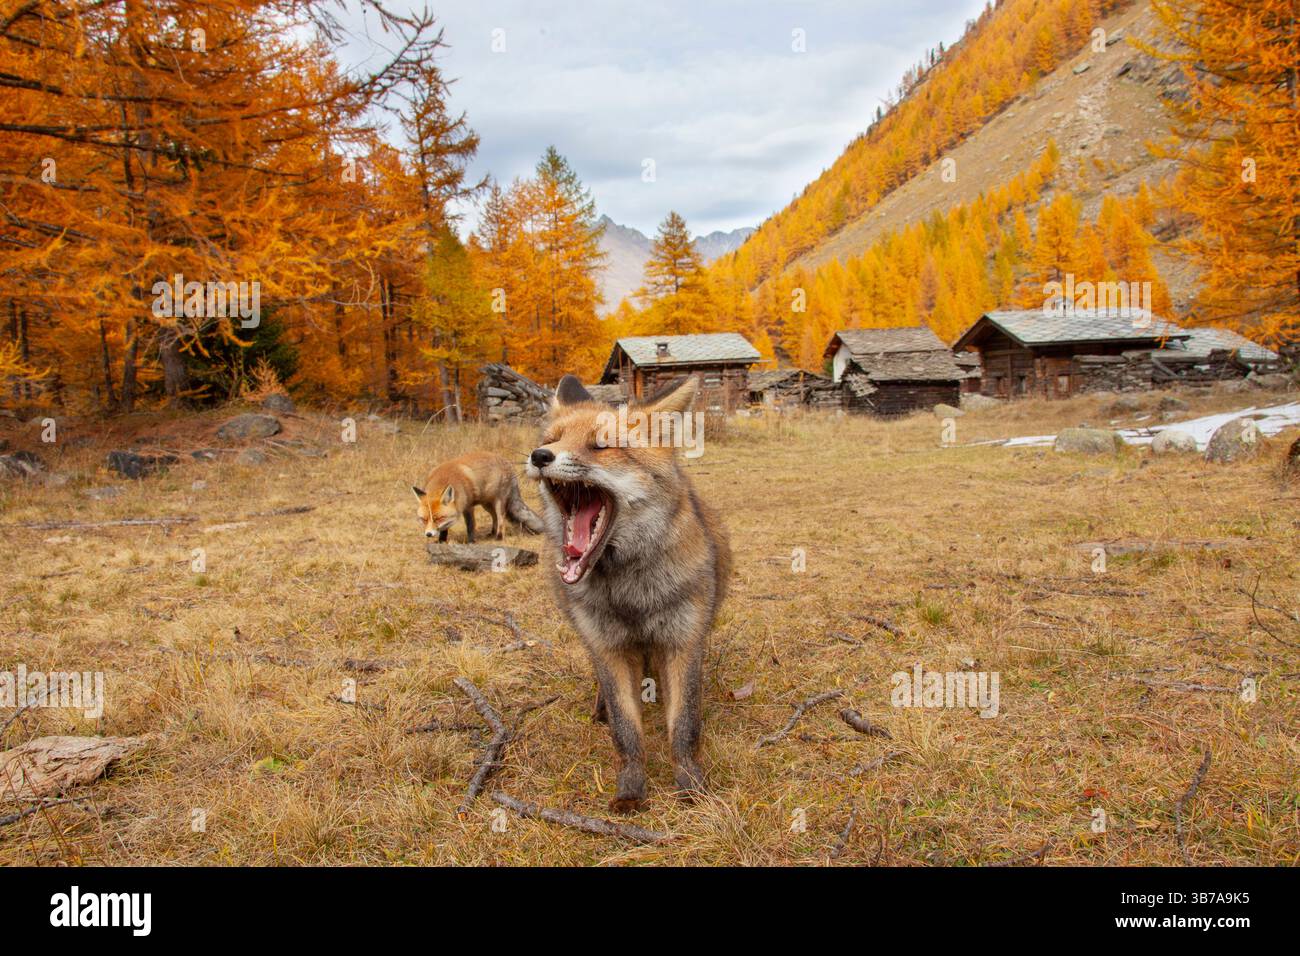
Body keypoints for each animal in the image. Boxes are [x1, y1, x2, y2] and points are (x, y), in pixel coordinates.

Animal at [412, 450, 543, 543]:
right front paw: (441, 541)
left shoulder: (468, 507)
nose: (428, 534)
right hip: (487, 504)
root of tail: (507, 462)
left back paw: (499, 536)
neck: (445, 478)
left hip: (499, 502)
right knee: (494, 517)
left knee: (501, 518)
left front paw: (471, 541)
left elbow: (470, 526)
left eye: (438, 519)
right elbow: (444, 529)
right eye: (424, 519)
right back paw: (492, 532)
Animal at [525, 374, 731, 812]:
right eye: (552, 439)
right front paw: (632, 789)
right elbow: (625, 730)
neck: (631, 593)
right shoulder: (608, 647)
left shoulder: (683, 640)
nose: (539, 456)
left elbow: (685, 724)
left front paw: (689, 783)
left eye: (601, 446)